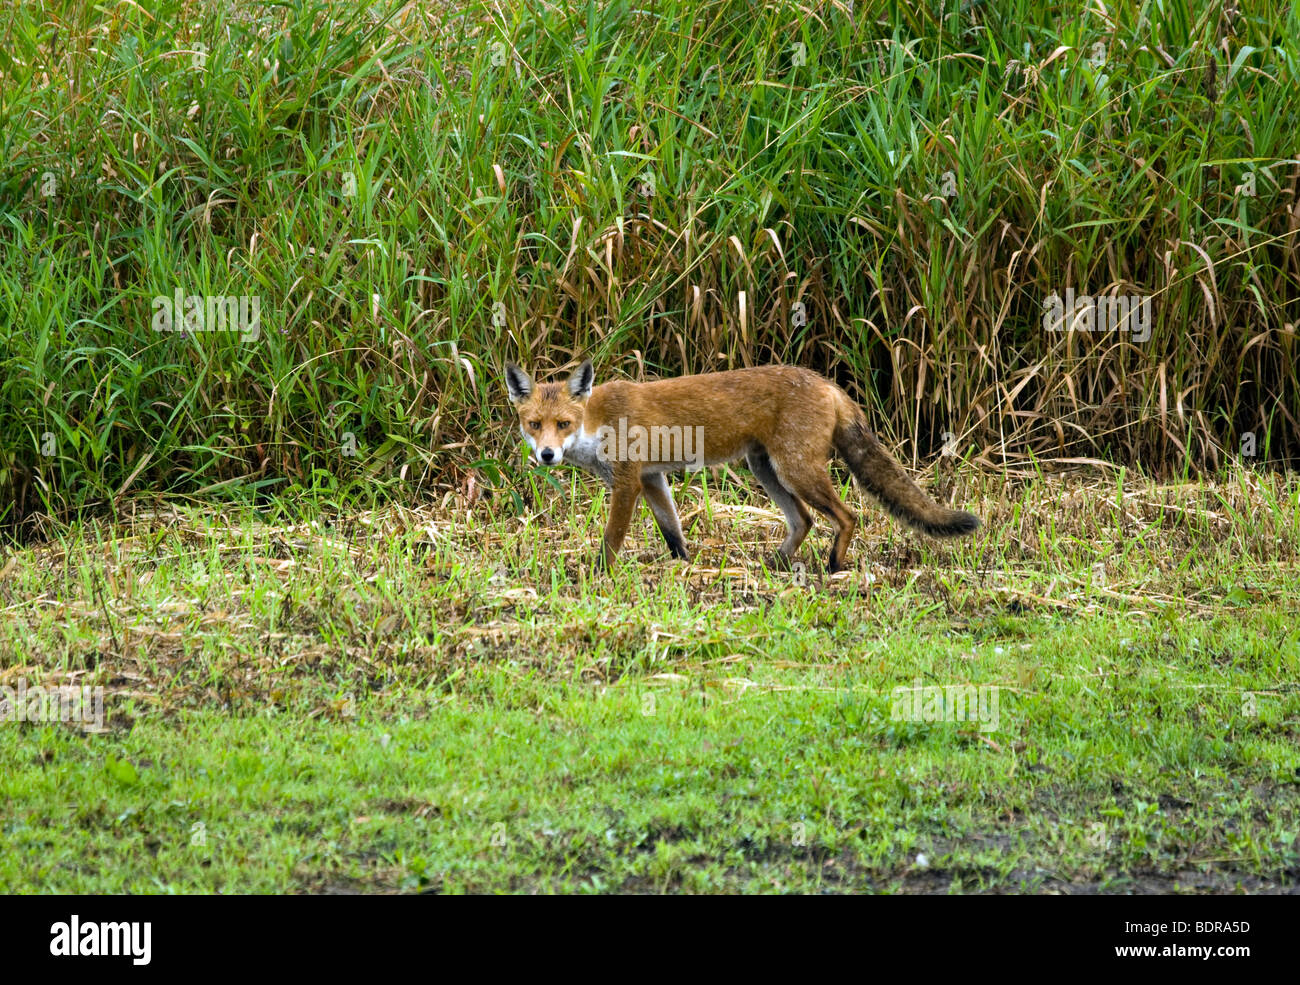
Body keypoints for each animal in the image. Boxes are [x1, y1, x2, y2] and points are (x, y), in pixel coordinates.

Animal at [503, 360, 980, 572]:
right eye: (534, 425)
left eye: (563, 424)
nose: (546, 455)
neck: (596, 422)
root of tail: (826, 382)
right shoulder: (652, 478)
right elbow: (673, 533)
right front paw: (686, 568)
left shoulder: (628, 484)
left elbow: (611, 540)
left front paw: (597, 575)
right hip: (766, 470)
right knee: (803, 521)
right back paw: (775, 564)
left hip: (796, 471)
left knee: (847, 516)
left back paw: (833, 566)